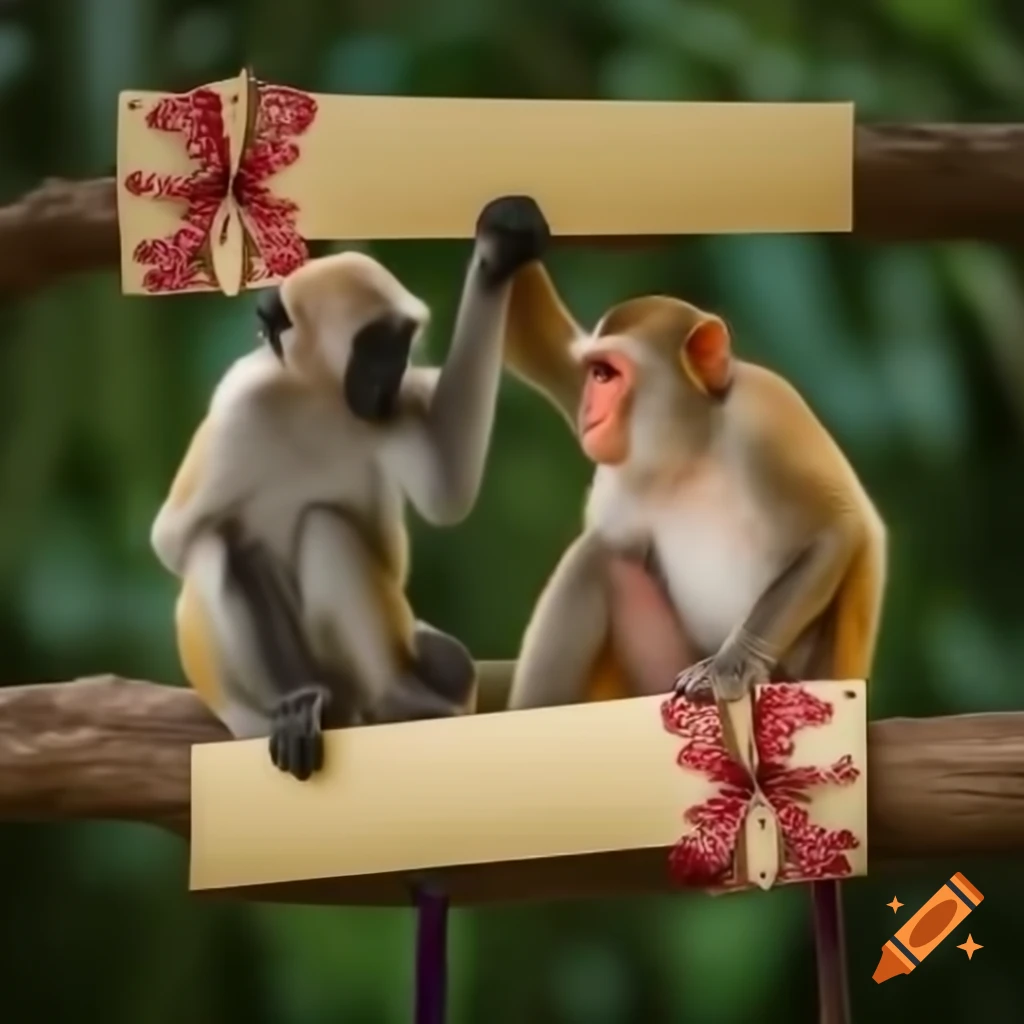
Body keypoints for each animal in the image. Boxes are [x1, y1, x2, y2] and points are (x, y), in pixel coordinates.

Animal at [150, 195, 551, 782]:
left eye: (400, 348)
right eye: (373, 349)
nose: (387, 378)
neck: (315, 395)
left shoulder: (381, 406)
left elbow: (445, 490)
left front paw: (500, 251)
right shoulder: (240, 403)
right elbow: (177, 542)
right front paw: (293, 703)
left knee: (323, 526)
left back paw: (398, 699)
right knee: (216, 545)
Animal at [499, 261, 886, 1024]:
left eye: (610, 375)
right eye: (590, 374)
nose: (590, 410)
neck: (695, 446)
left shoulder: (767, 420)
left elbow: (837, 533)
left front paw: (731, 666)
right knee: (604, 560)